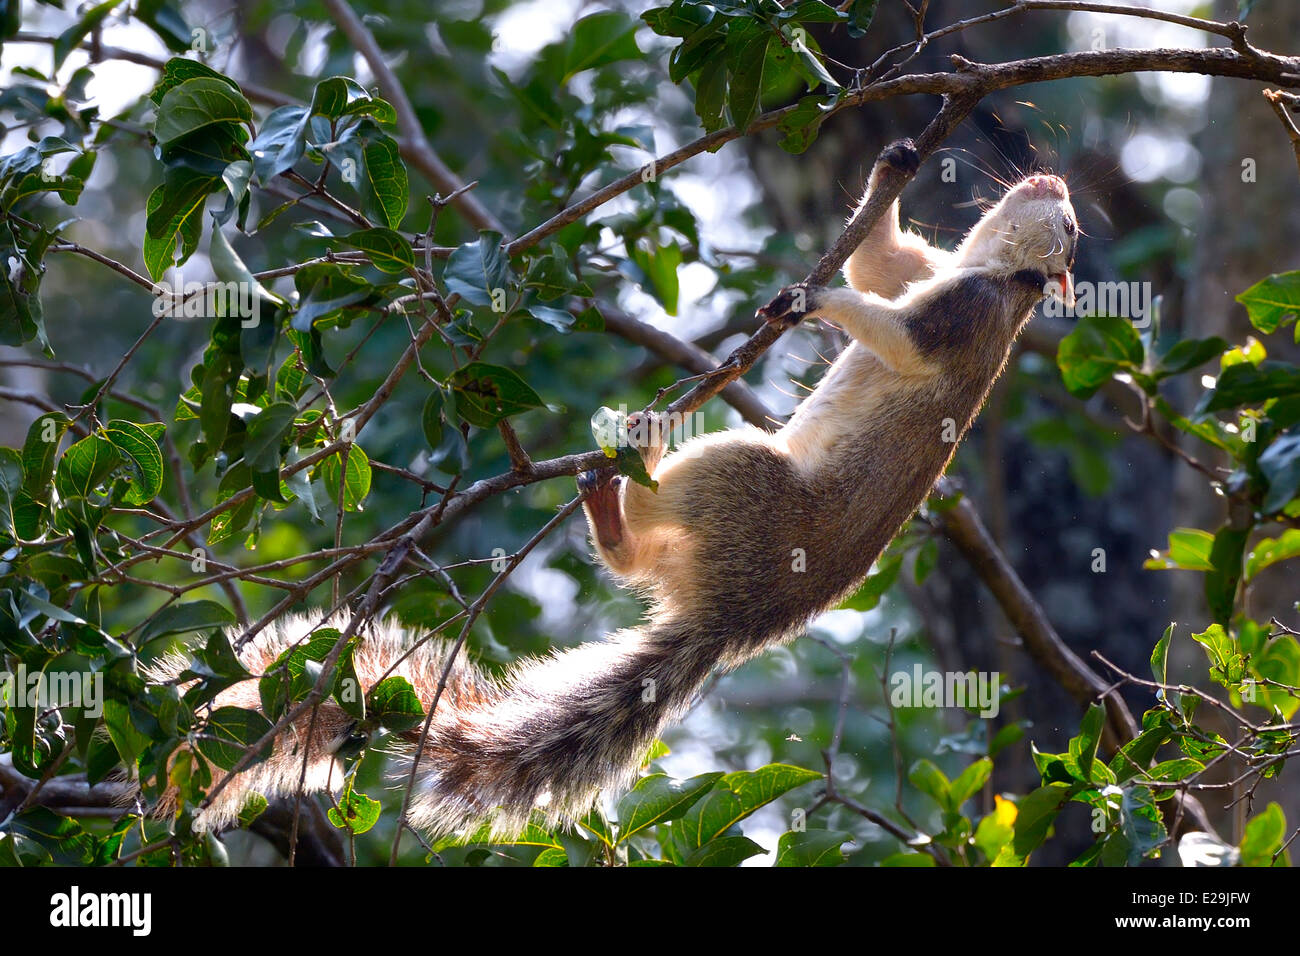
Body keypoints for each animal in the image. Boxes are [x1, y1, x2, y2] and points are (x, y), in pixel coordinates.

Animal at [153, 140, 1078, 839]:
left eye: (1067, 236)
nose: (1052, 180)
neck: (995, 269)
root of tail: (728, 621)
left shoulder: (958, 317)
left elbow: (895, 330)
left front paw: (815, 295)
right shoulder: (928, 266)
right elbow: (883, 258)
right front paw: (892, 171)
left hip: (740, 478)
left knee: (647, 535)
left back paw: (625, 475)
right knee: (638, 568)